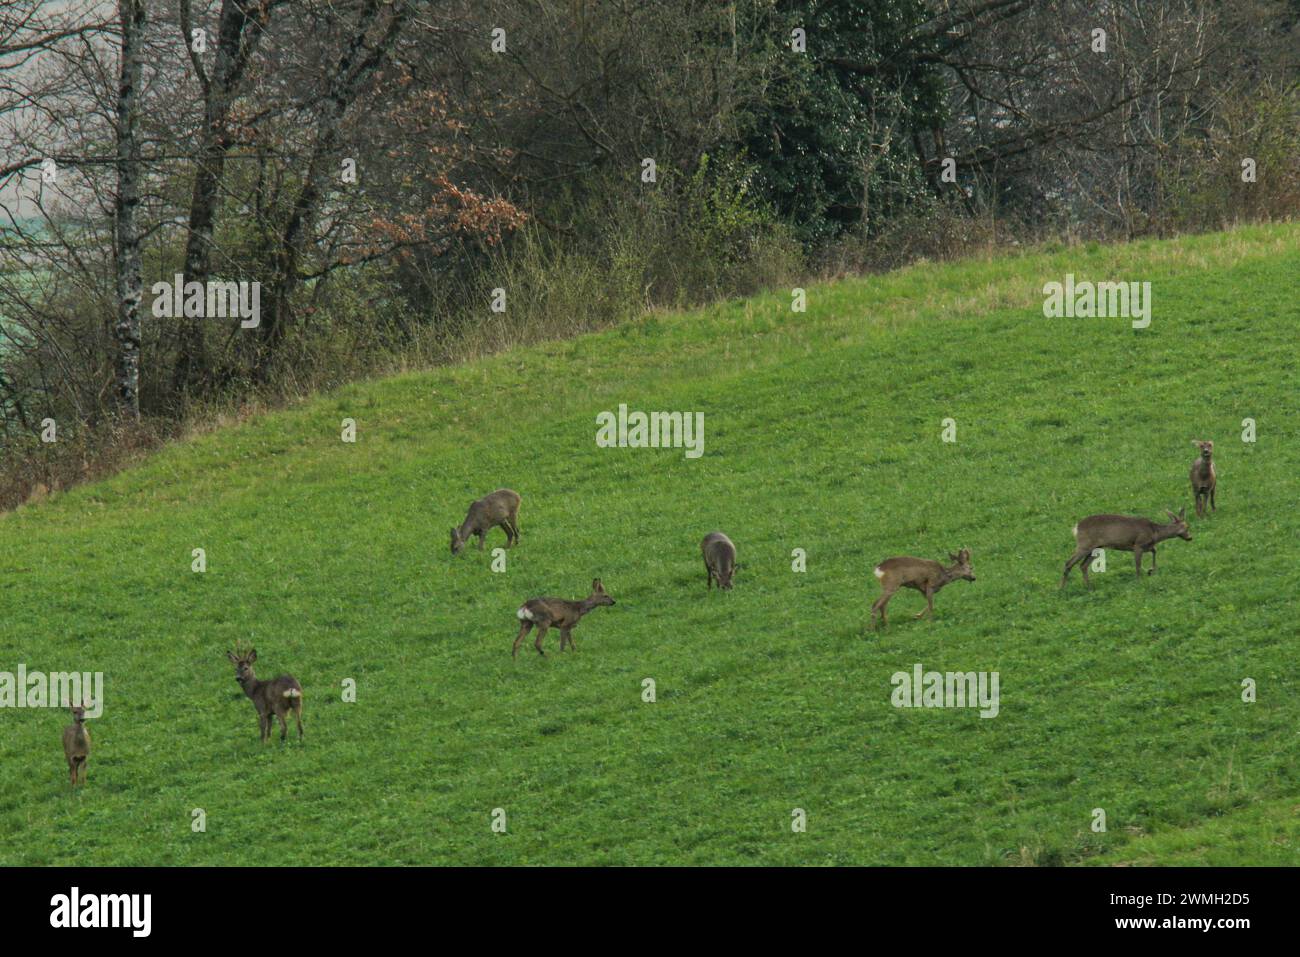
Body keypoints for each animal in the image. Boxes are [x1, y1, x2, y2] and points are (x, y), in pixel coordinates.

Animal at [1059, 508, 1191, 589]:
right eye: (1186, 527)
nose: (1190, 537)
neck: (1154, 533)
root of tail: (1076, 528)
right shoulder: (1138, 545)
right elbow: (1138, 565)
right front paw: (1139, 581)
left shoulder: (1147, 546)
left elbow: (1154, 550)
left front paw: (1150, 571)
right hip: (1084, 544)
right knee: (1068, 562)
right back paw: (1062, 588)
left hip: (1096, 548)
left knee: (1083, 565)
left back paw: (1089, 588)